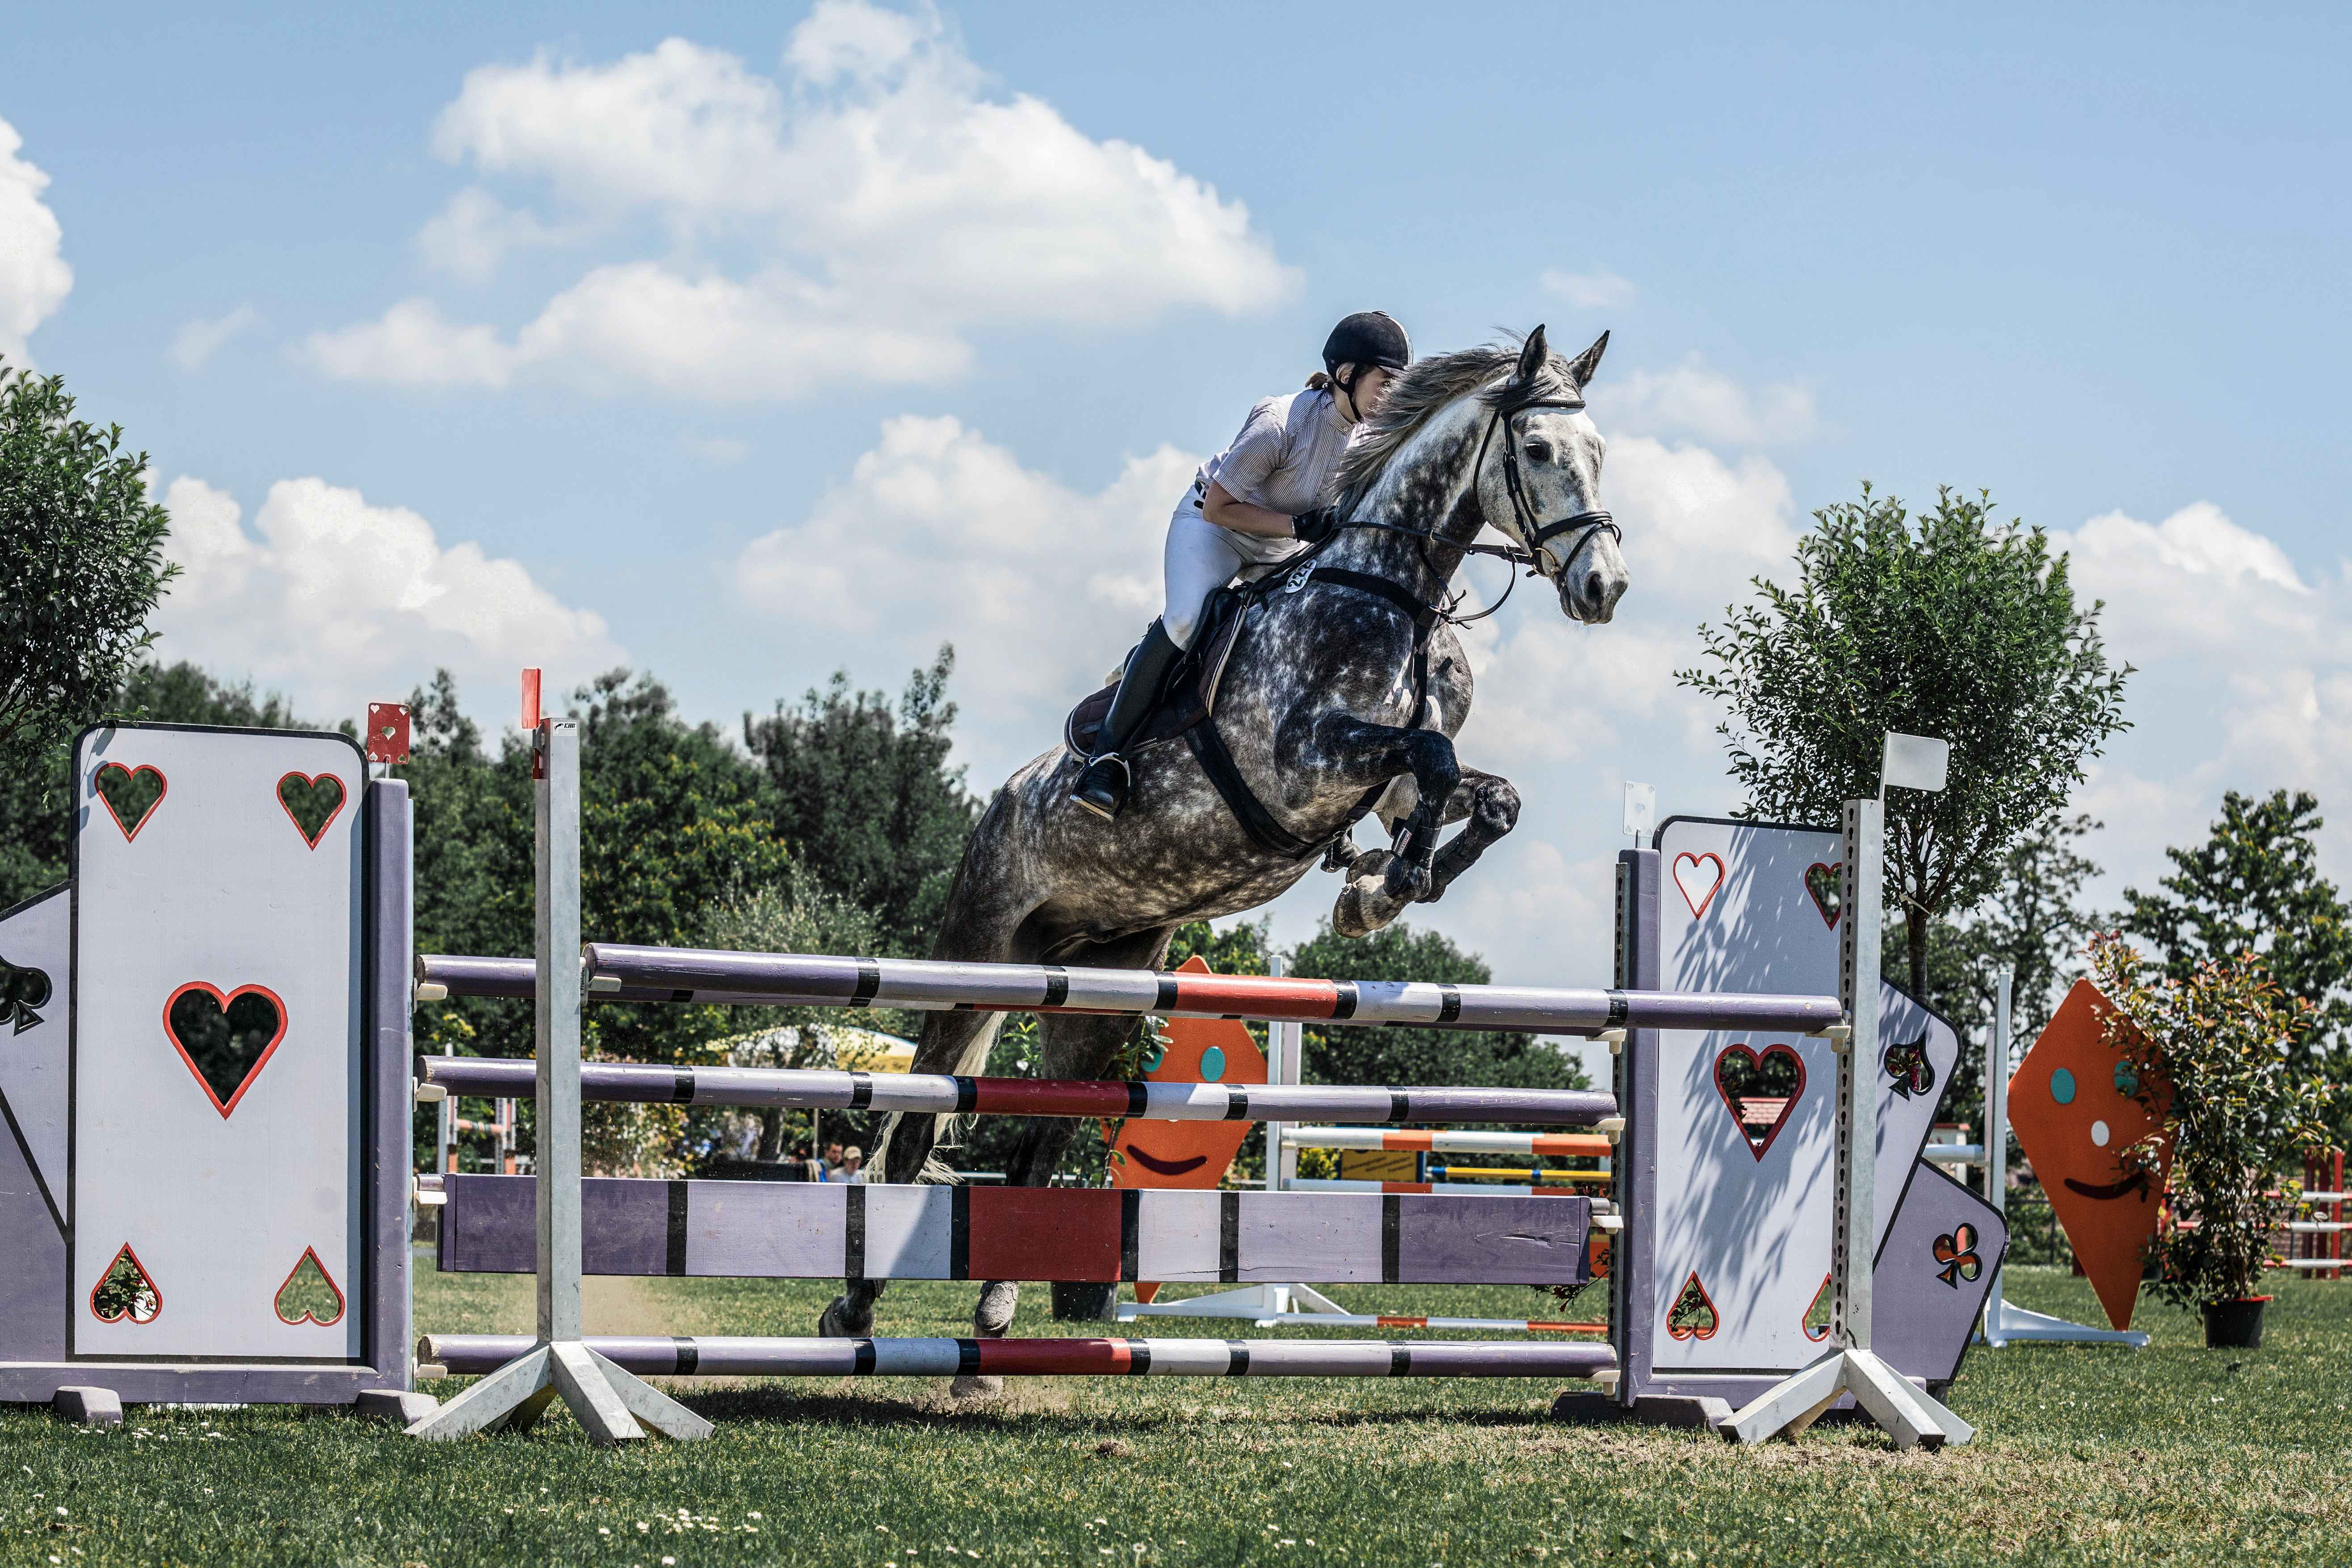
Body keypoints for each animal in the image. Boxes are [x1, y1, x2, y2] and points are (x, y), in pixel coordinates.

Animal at [821, 325, 1630, 1358]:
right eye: (1534, 451)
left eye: (1598, 452)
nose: (1602, 587)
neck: (1389, 594)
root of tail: (999, 804)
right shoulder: (1303, 764)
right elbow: (1435, 757)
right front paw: (1381, 887)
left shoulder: (1382, 783)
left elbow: (1485, 796)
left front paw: (1377, 886)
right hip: (976, 955)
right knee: (922, 1122)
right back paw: (855, 1311)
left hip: (1099, 986)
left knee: (1043, 1136)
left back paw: (995, 1318)